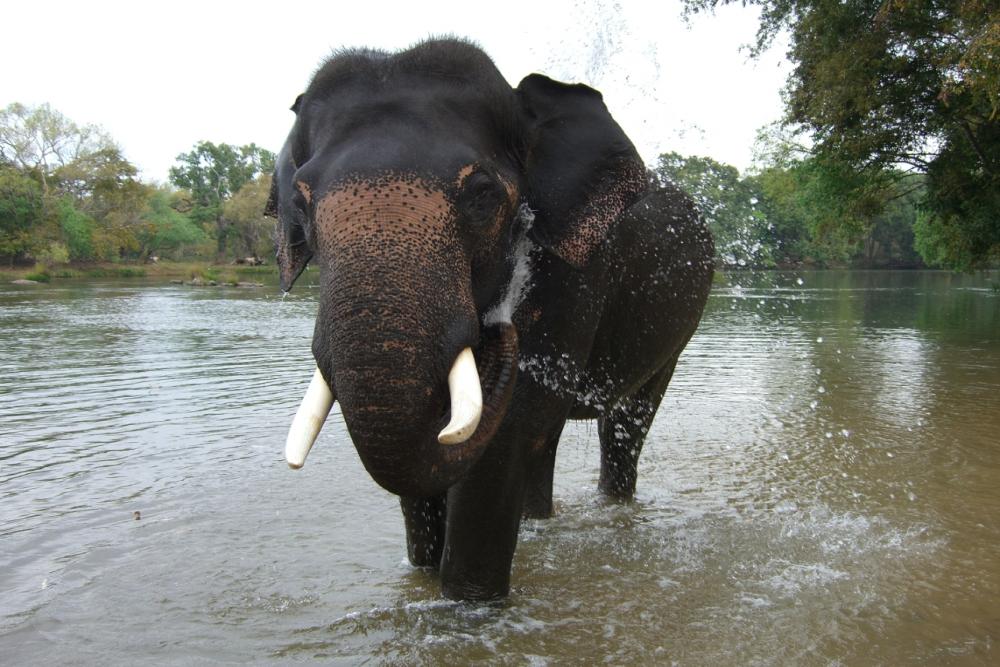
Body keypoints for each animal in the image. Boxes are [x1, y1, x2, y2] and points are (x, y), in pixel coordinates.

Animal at [267, 38, 714, 601]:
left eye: (483, 196)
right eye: (300, 204)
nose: (500, 328)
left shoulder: (573, 277)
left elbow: (504, 435)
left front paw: (468, 607)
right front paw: (423, 578)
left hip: (675, 334)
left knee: (623, 425)